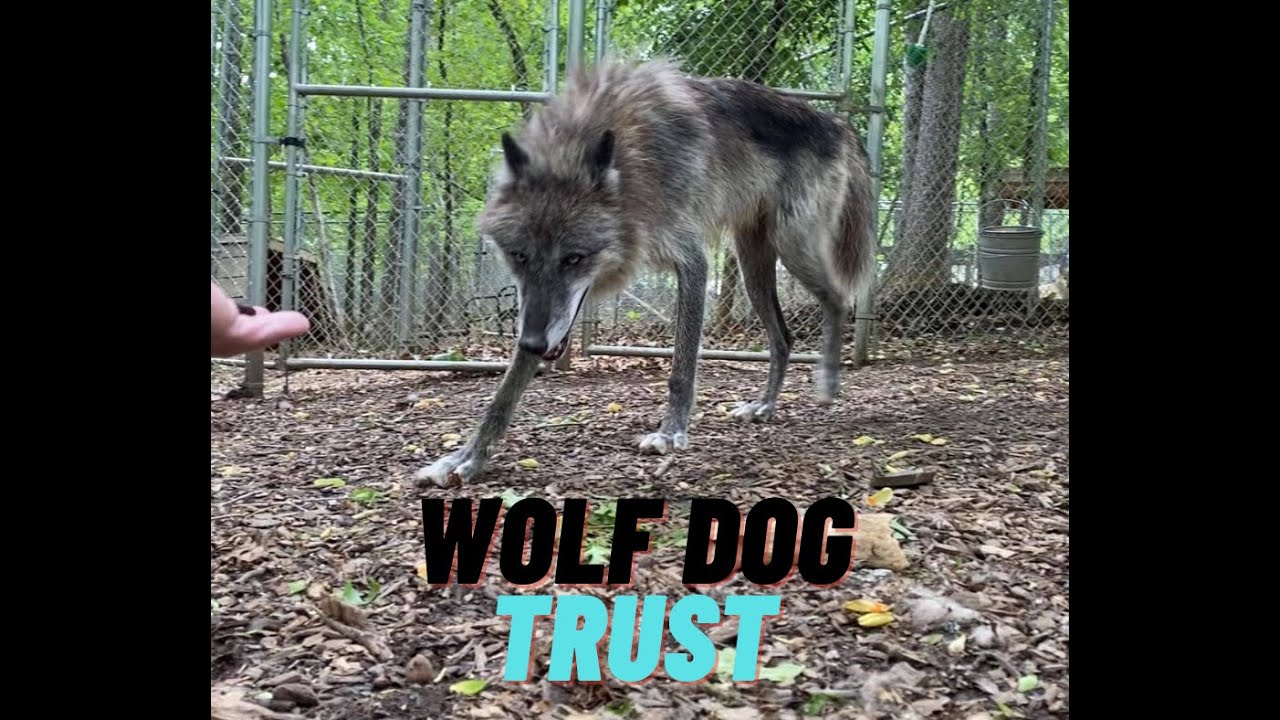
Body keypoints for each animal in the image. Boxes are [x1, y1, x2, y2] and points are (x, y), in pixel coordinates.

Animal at [415, 58, 877, 487]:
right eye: (520, 257)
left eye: (574, 258)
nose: (531, 342)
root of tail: (836, 121)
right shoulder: (540, 317)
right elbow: (504, 393)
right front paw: (465, 458)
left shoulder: (692, 261)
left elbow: (681, 369)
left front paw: (671, 433)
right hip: (752, 267)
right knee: (783, 338)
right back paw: (764, 407)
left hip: (792, 248)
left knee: (839, 298)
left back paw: (829, 380)